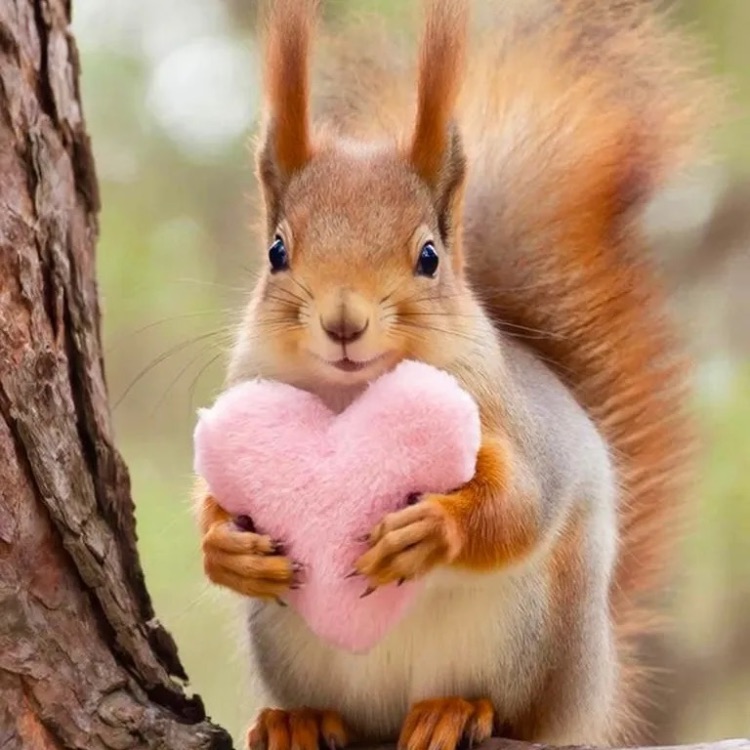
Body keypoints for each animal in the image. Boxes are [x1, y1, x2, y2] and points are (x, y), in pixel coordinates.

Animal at [196, 1, 718, 749]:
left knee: (510, 708)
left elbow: (521, 504)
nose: (344, 321)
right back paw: (299, 718)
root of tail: (589, 695)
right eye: (276, 251)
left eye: (429, 256)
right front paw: (226, 546)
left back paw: (458, 708)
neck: (351, 395)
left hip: (531, 639)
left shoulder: (510, 421)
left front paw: (430, 531)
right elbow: (210, 503)